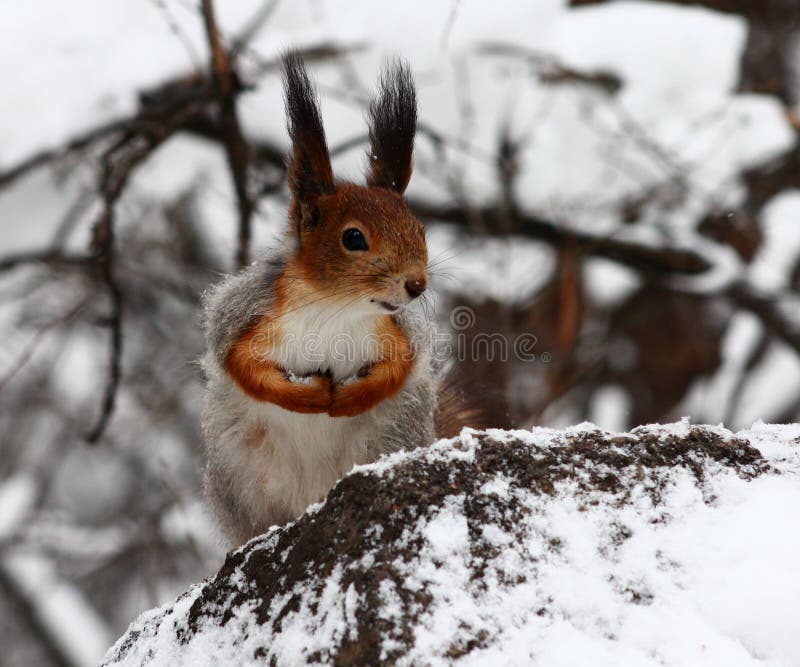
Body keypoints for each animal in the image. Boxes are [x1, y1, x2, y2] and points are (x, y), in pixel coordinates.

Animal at [201, 53, 478, 547]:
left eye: (420, 230)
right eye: (353, 238)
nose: (417, 285)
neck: (336, 306)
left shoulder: (397, 331)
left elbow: (400, 366)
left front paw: (349, 398)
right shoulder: (245, 313)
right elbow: (240, 364)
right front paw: (307, 396)